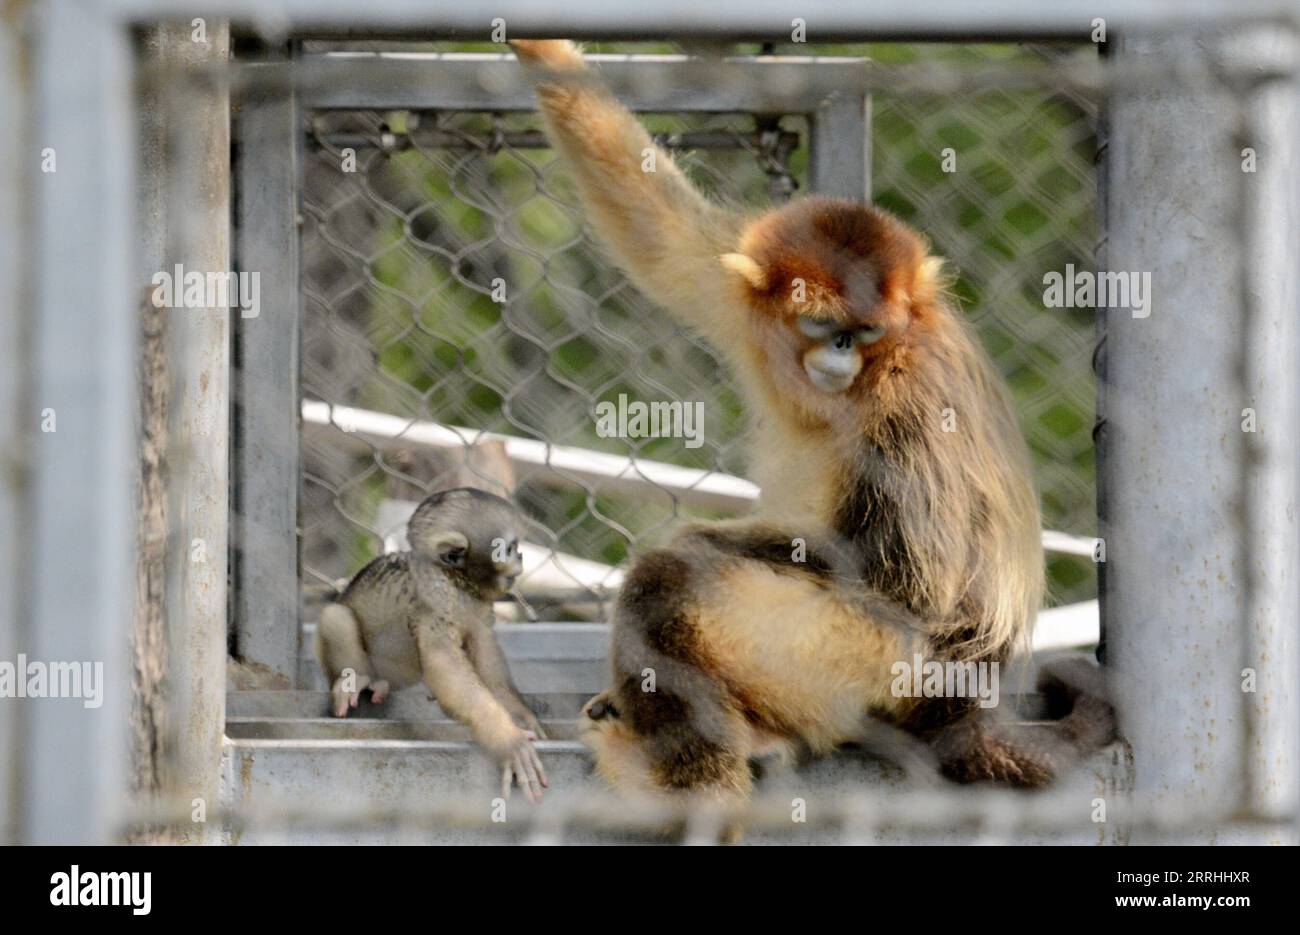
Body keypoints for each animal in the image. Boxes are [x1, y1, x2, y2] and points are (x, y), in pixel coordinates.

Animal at [314, 487, 549, 801]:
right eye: (508, 549)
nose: (521, 558)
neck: (457, 581)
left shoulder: (478, 606)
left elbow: (486, 659)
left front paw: (521, 717)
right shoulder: (435, 597)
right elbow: (443, 663)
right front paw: (506, 739)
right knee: (335, 617)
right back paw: (361, 680)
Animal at [512, 40, 1115, 815]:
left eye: (867, 333)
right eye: (825, 326)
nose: (842, 354)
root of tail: (967, 701)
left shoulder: (912, 392)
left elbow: (910, 586)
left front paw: (702, 537)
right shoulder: (738, 287)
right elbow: (657, 233)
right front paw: (539, 49)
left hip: (878, 663)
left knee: (670, 583)